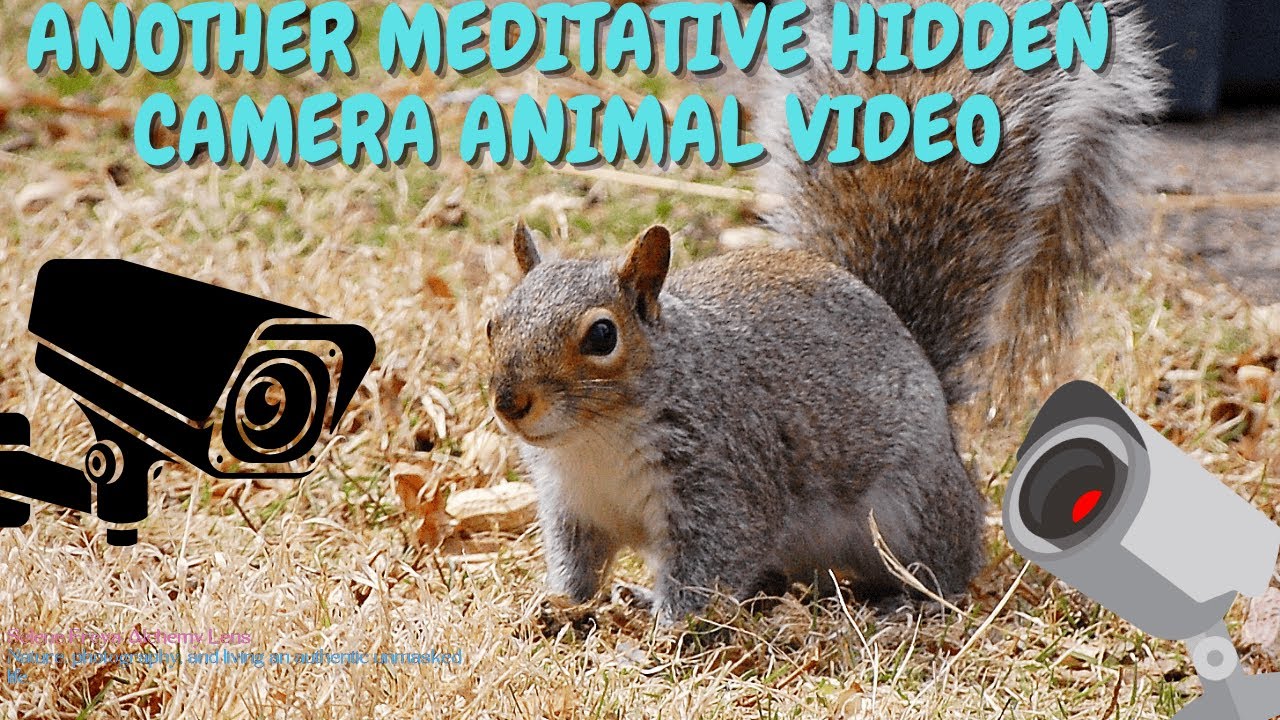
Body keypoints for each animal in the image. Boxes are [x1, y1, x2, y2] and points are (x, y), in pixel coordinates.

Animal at [485, 0, 1164, 625]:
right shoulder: (571, 505)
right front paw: (555, 605)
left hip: (909, 508)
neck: (593, 440)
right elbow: (577, 564)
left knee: (948, 565)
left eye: (602, 335)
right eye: (493, 323)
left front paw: (666, 629)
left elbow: (707, 568)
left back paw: (904, 603)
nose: (510, 402)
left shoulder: (723, 482)